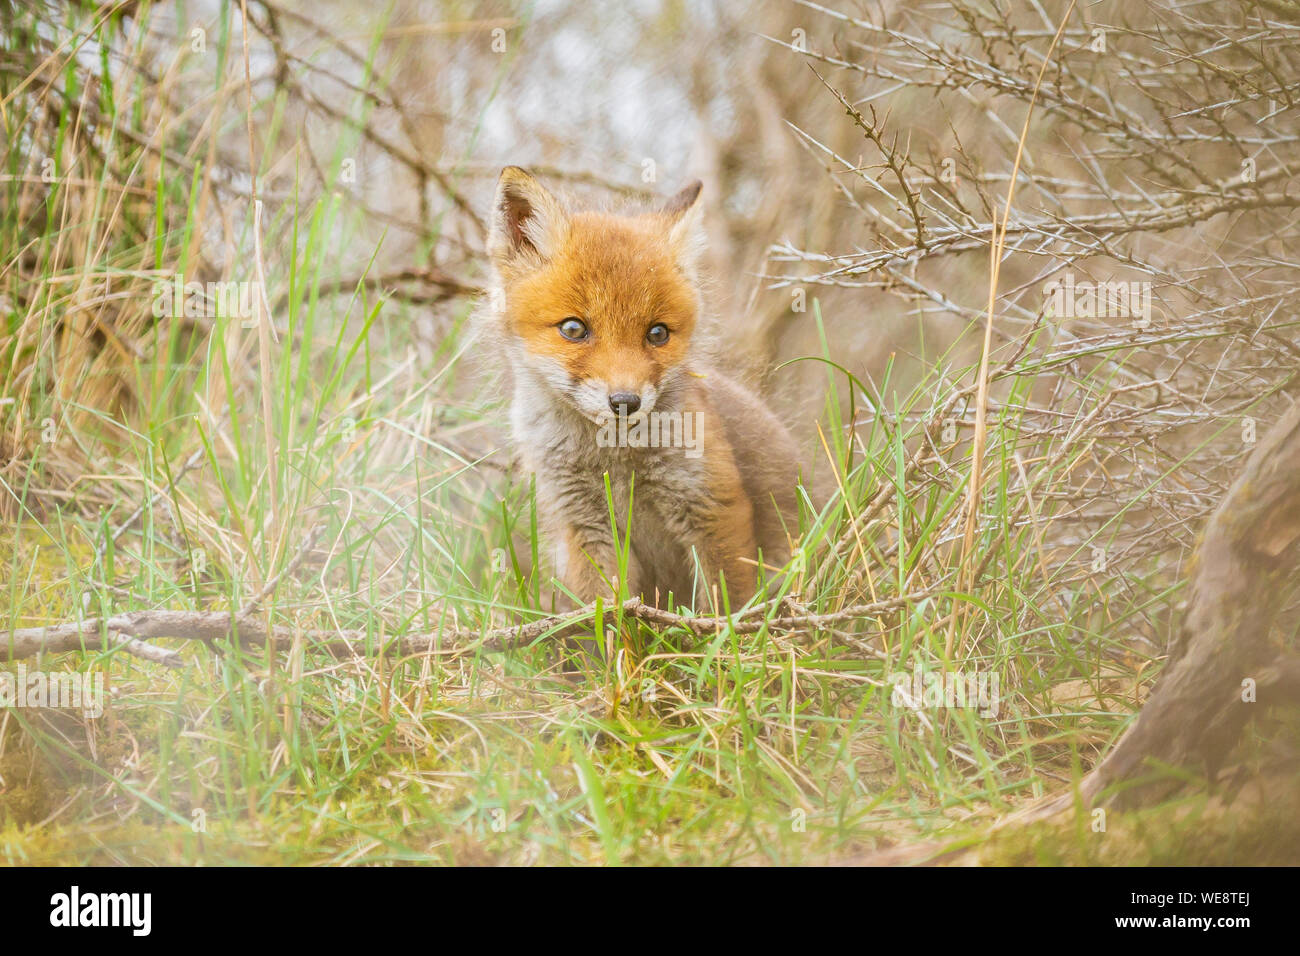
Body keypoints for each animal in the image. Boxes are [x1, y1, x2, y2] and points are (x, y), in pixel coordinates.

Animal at [484, 165, 803, 610]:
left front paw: (727, 633)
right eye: (573, 329)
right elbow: (605, 613)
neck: (612, 457)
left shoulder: (713, 507)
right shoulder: (584, 524)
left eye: (657, 333)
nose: (625, 401)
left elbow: (725, 605)